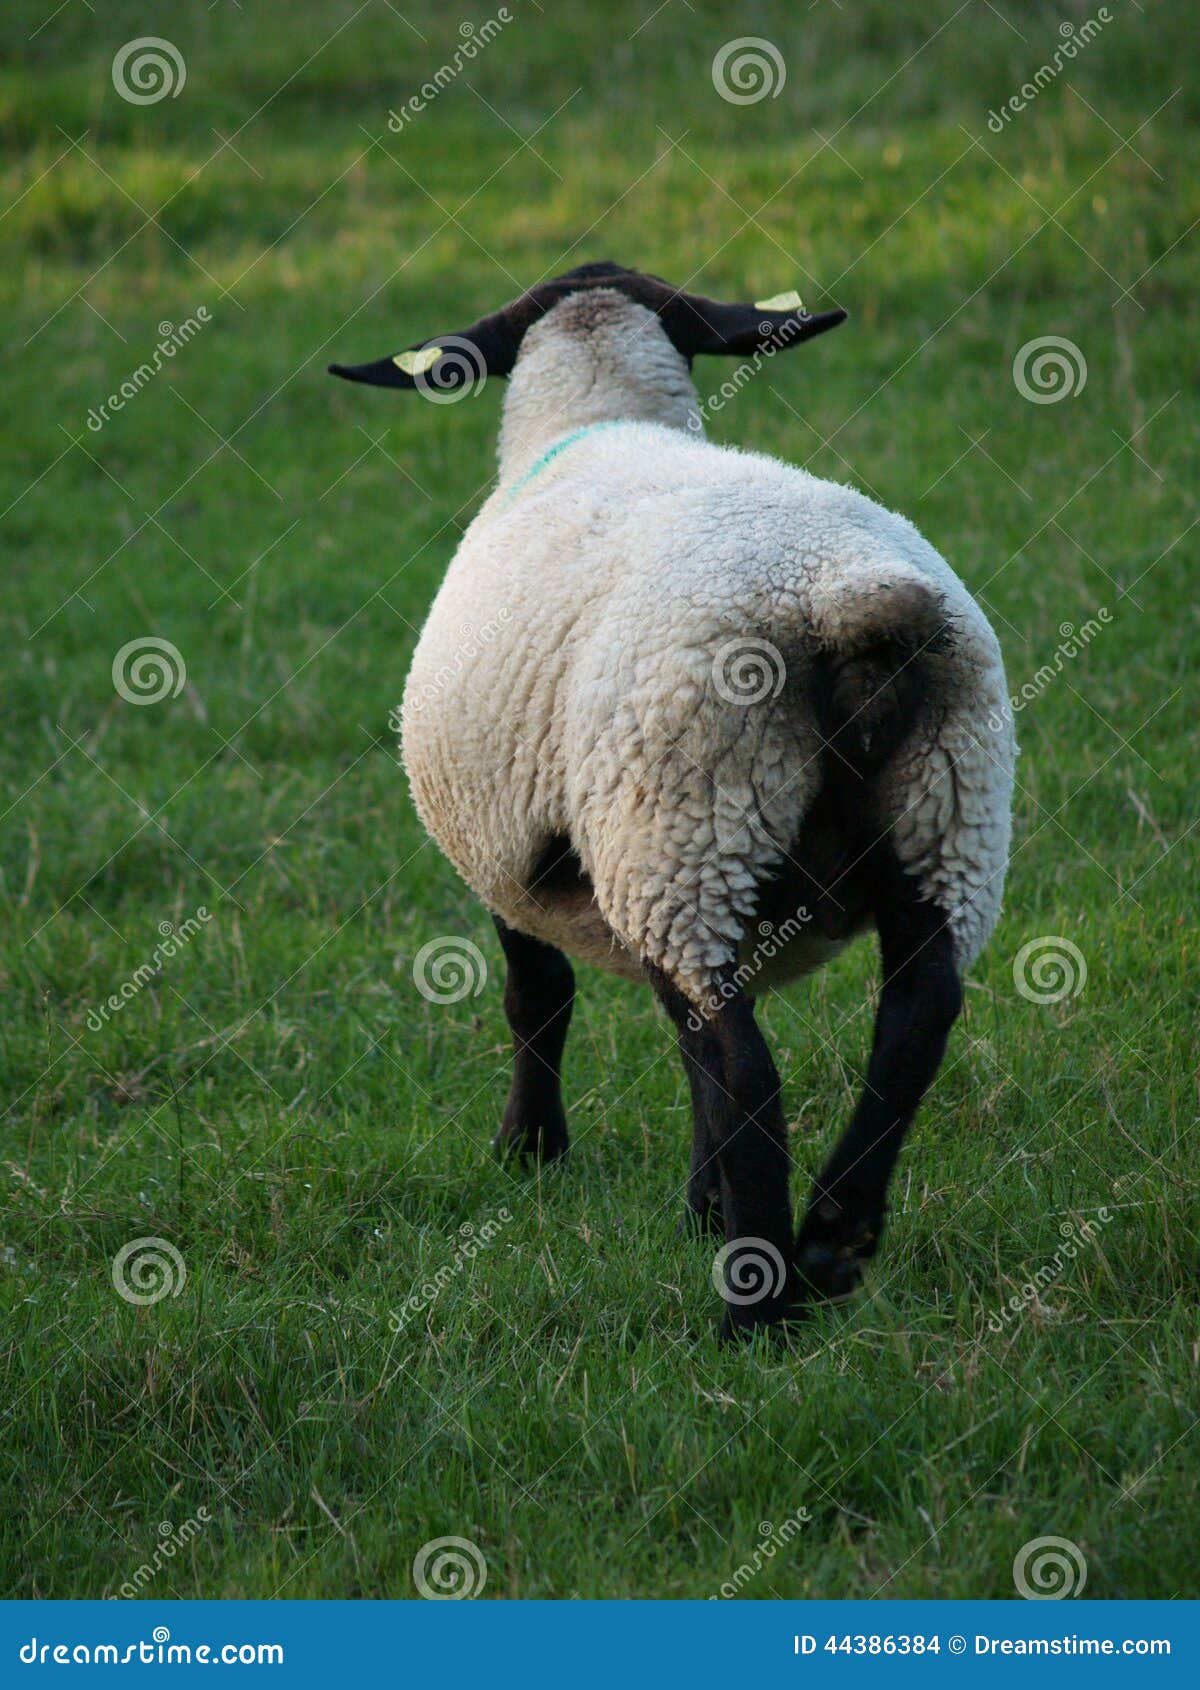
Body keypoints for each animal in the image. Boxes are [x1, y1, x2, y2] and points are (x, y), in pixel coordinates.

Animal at [329, 261, 1016, 1339]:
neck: (600, 407)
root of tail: (848, 608)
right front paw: (699, 1203)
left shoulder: (501, 841)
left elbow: (540, 999)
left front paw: (530, 1151)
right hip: (941, 818)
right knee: (913, 1022)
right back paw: (834, 1241)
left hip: (684, 831)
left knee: (746, 1071)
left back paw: (756, 1307)